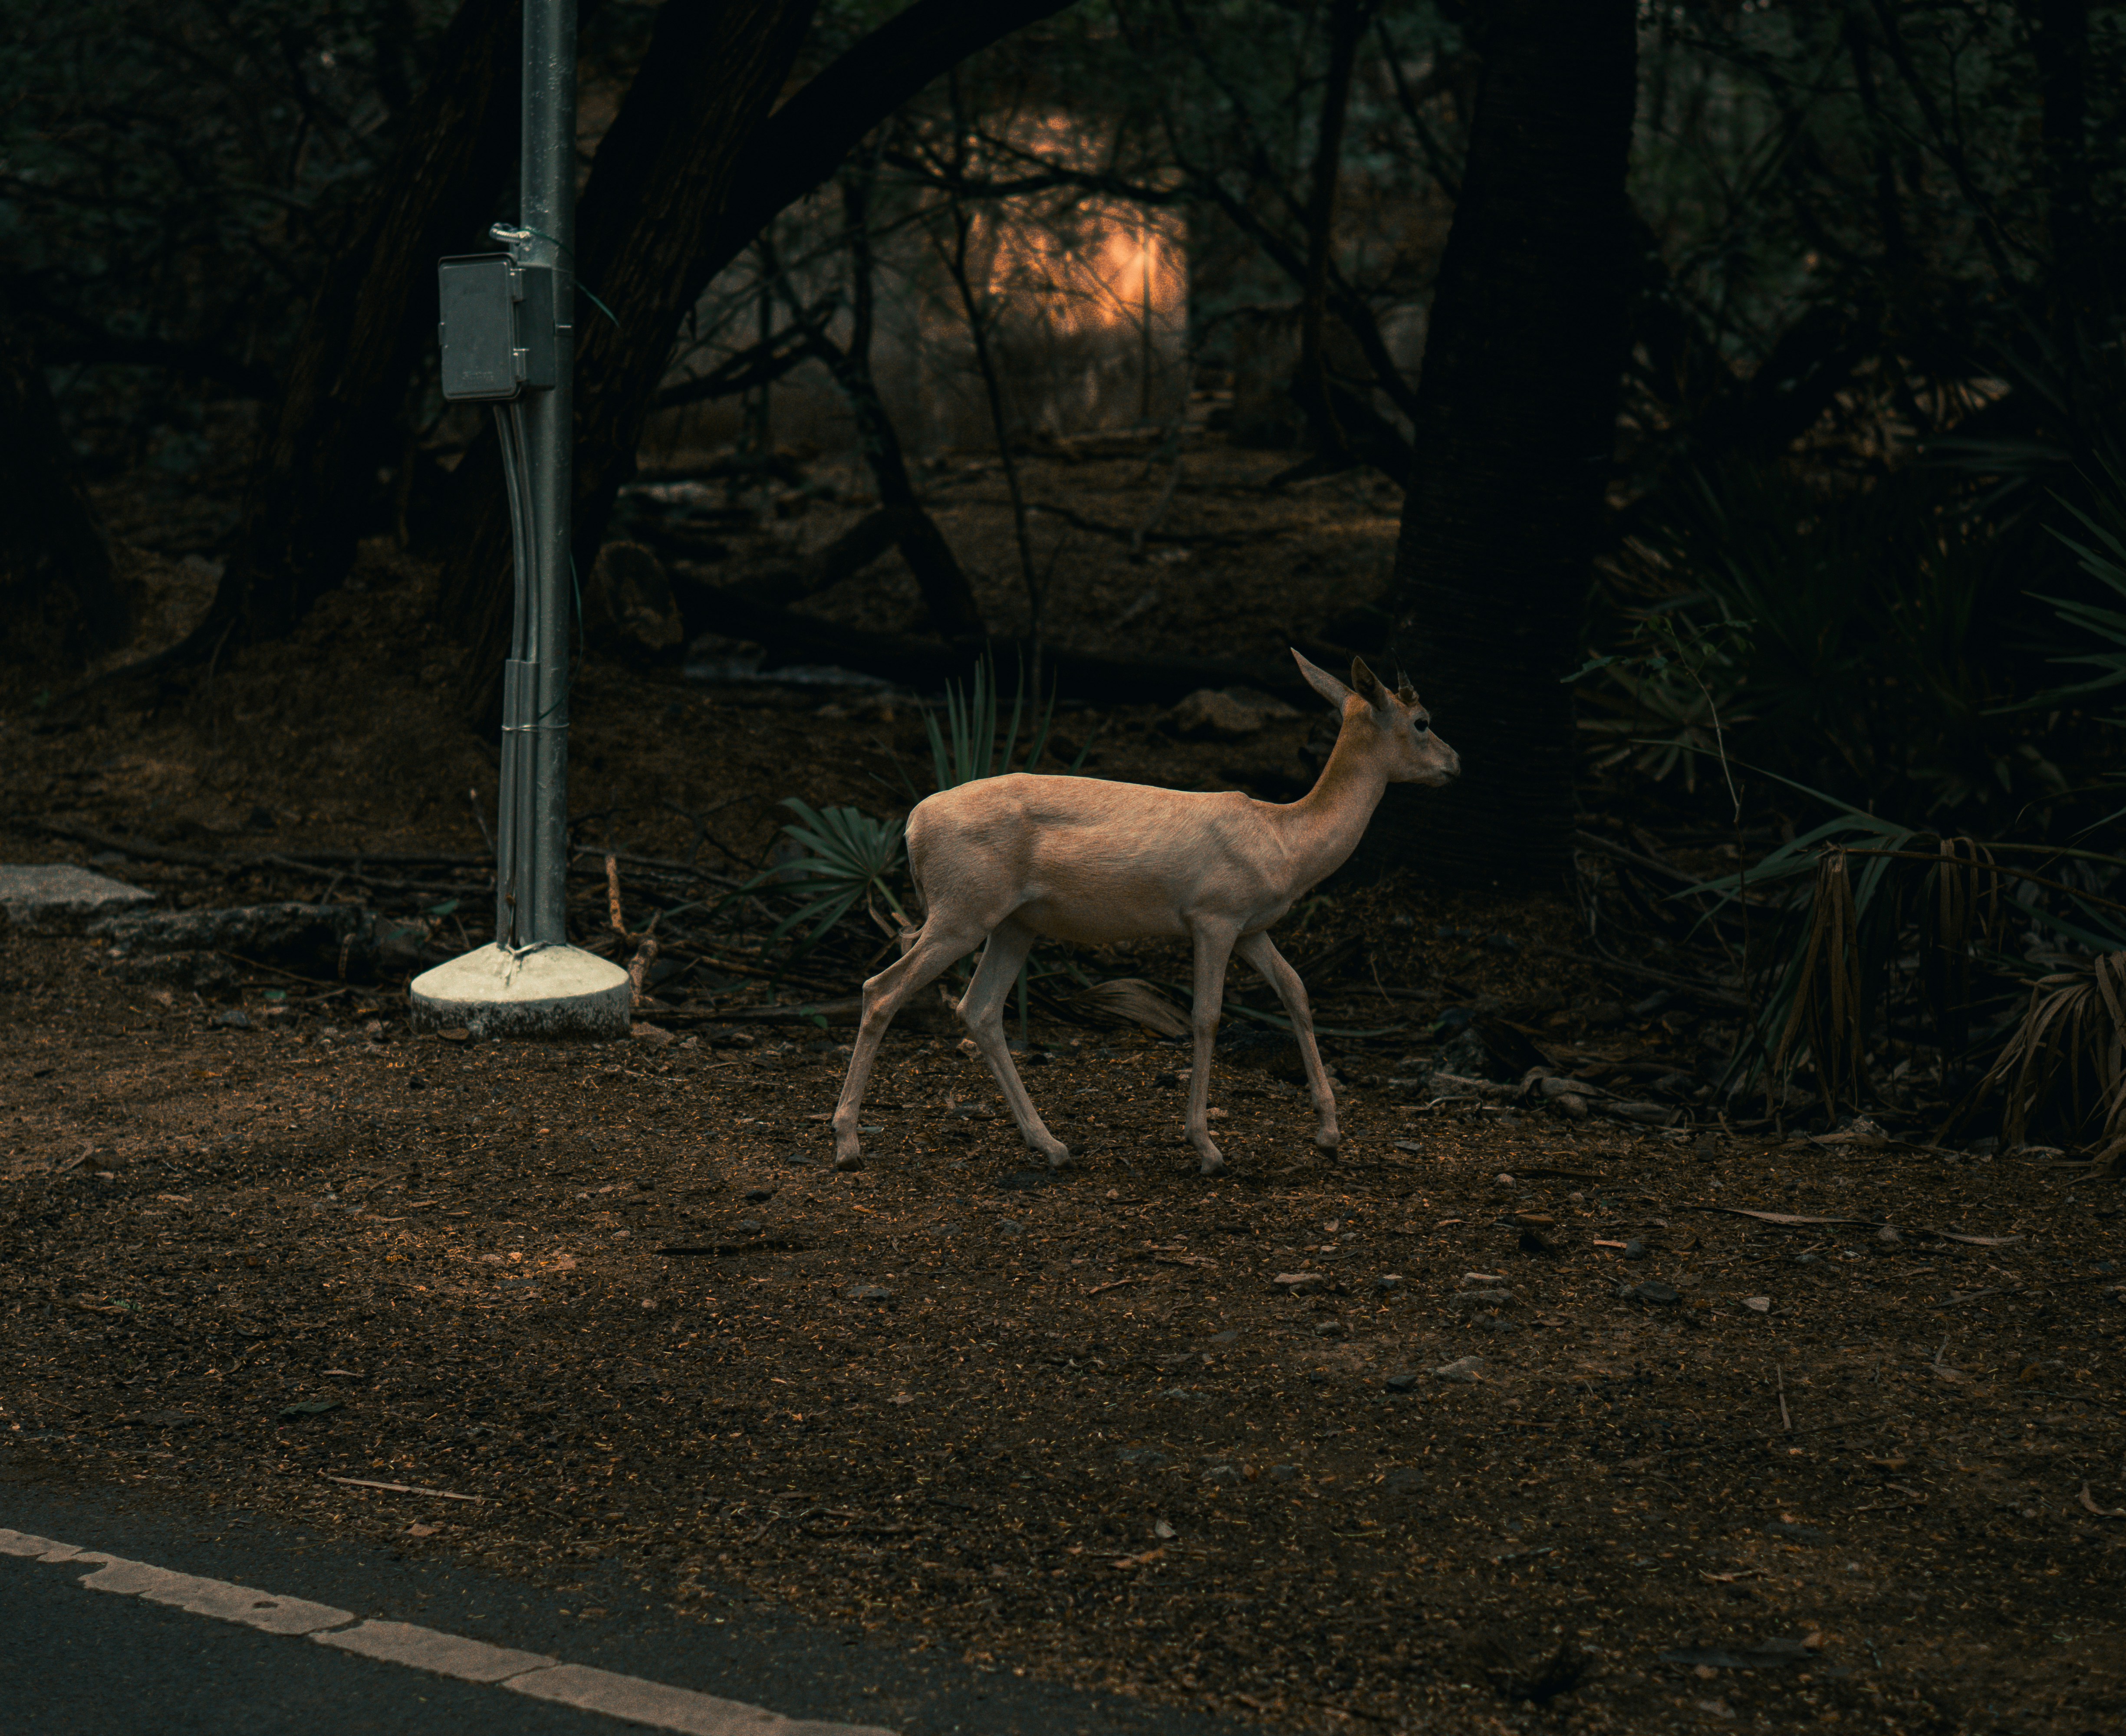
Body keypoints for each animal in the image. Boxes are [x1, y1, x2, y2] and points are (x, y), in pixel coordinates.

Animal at [830, 649, 1459, 1177]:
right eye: (1422, 719)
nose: (1455, 762)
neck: (1285, 841)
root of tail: (910, 825)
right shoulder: (1213, 918)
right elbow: (1205, 1016)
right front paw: (1206, 1148)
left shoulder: (1252, 928)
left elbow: (1297, 992)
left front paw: (1328, 1135)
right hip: (961, 914)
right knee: (881, 989)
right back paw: (847, 1144)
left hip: (1014, 925)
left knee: (978, 1009)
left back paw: (1051, 1145)